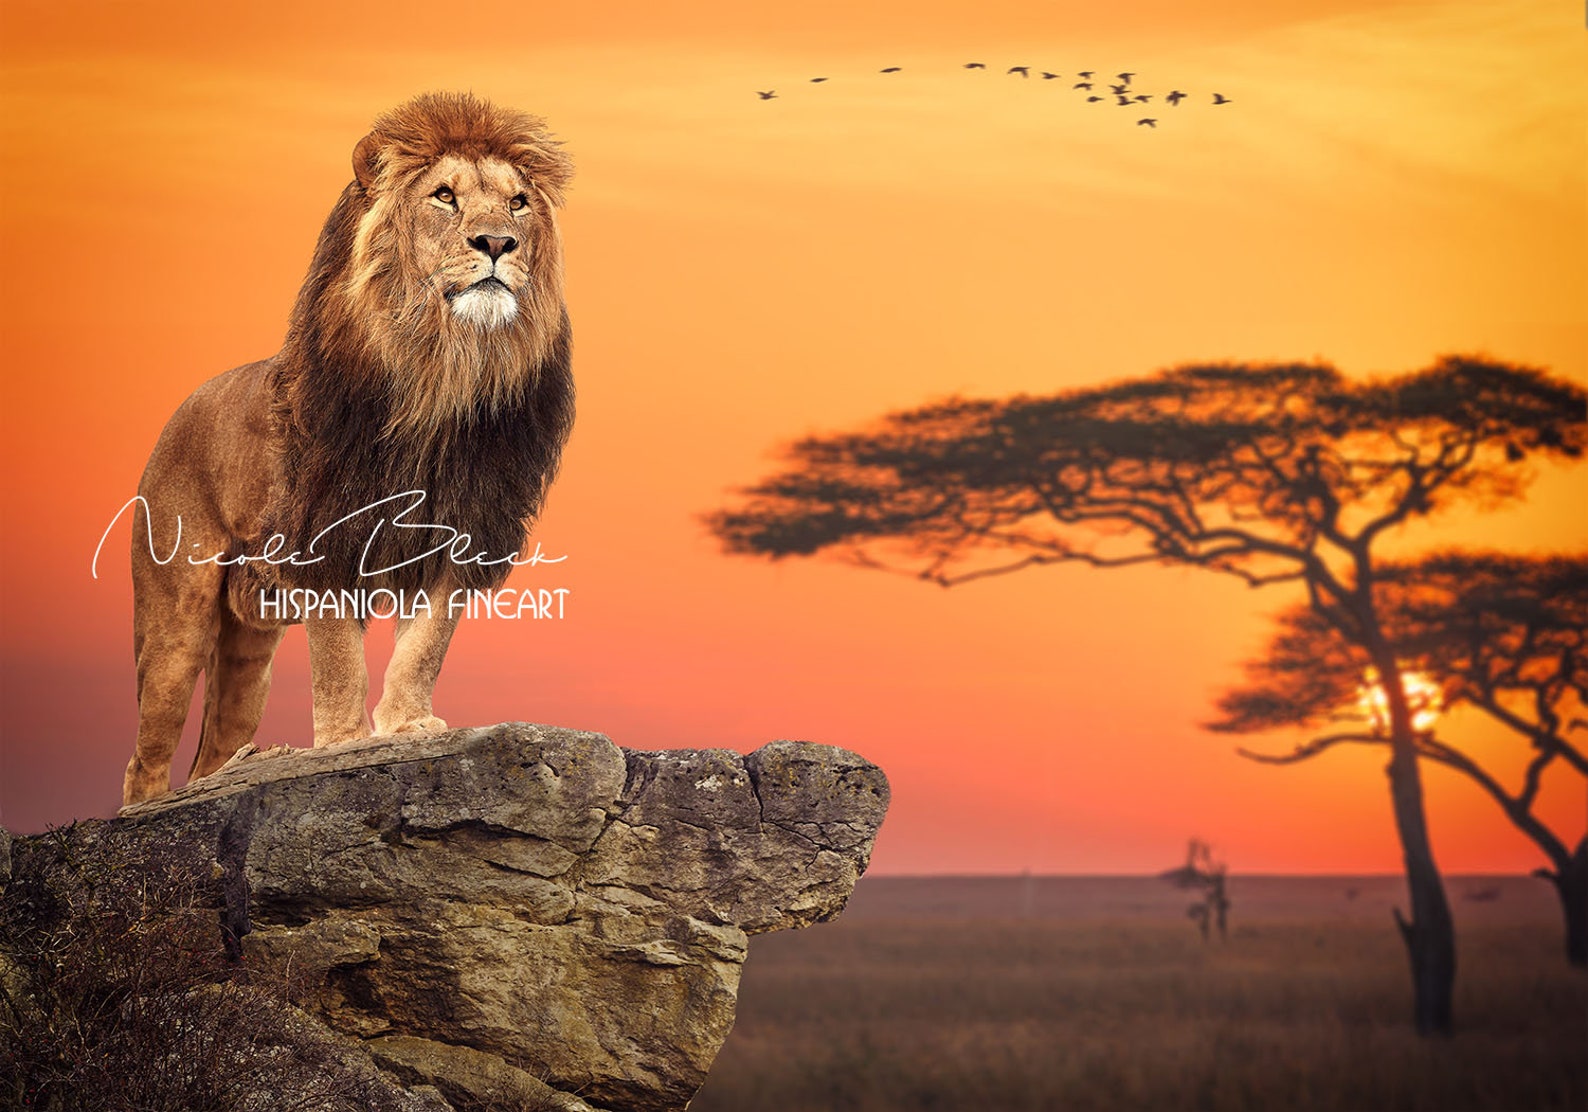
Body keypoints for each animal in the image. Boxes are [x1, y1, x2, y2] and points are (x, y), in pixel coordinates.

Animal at [122, 92, 575, 805]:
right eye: (444, 196)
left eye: (518, 203)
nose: (498, 243)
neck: (444, 370)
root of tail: (181, 409)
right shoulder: (327, 531)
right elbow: (338, 658)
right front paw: (341, 745)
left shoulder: (461, 532)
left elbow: (425, 646)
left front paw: (406, 724)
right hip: (176, 619)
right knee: (147, 754)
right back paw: (147, 808)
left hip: (248, 646)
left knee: (216, 745)